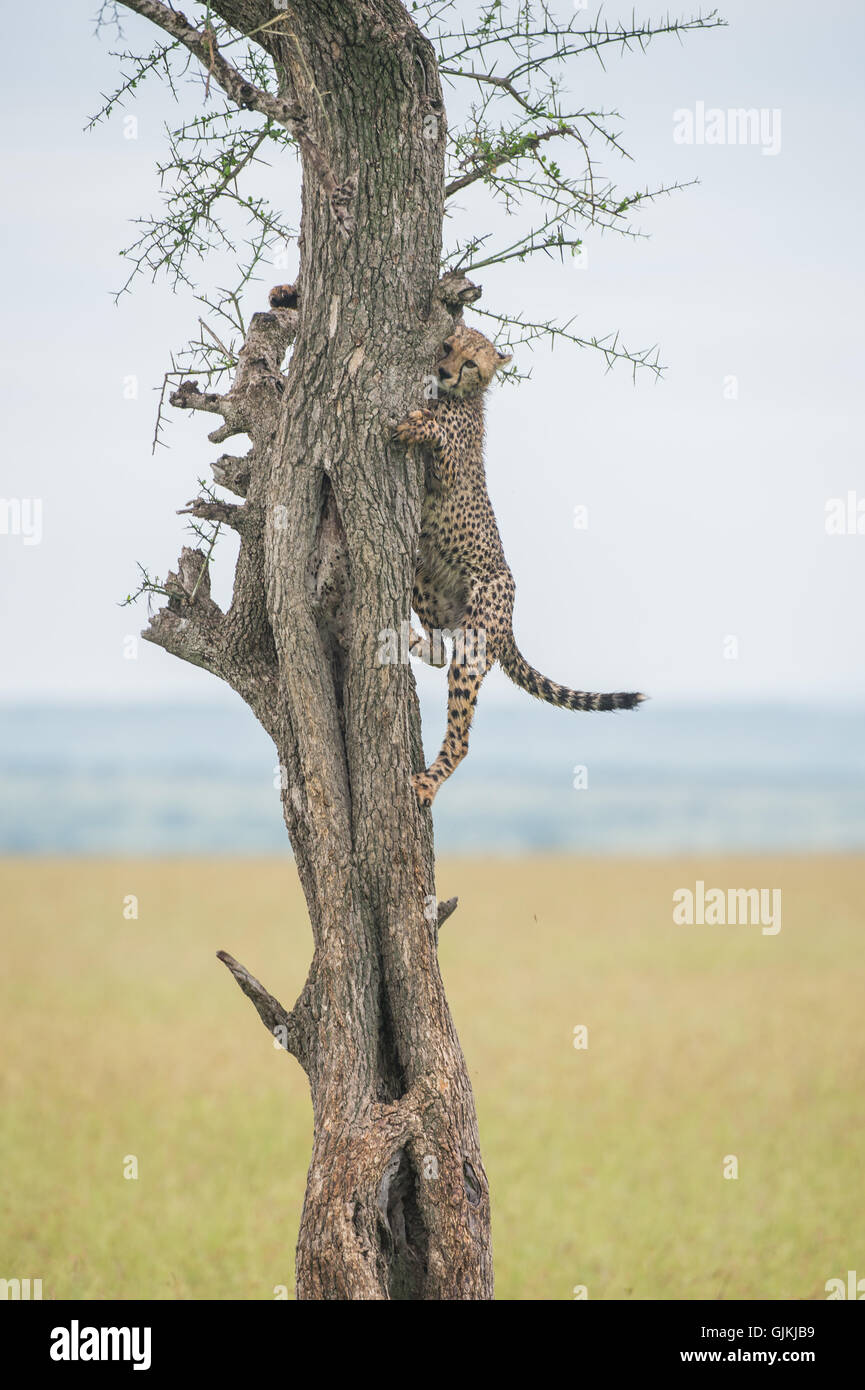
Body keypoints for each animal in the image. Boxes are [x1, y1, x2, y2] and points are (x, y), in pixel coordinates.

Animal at [393, 323, 645, 807]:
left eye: (471, 364)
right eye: (447, 347)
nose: (444, 372)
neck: (455, 397)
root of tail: (508, 622)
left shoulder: (449, 468)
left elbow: (439, 435)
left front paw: (418, 423)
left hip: (475, 639)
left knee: (461, 731)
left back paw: (427, 782)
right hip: (425, 579)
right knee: (436, 651)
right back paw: (408, 636)